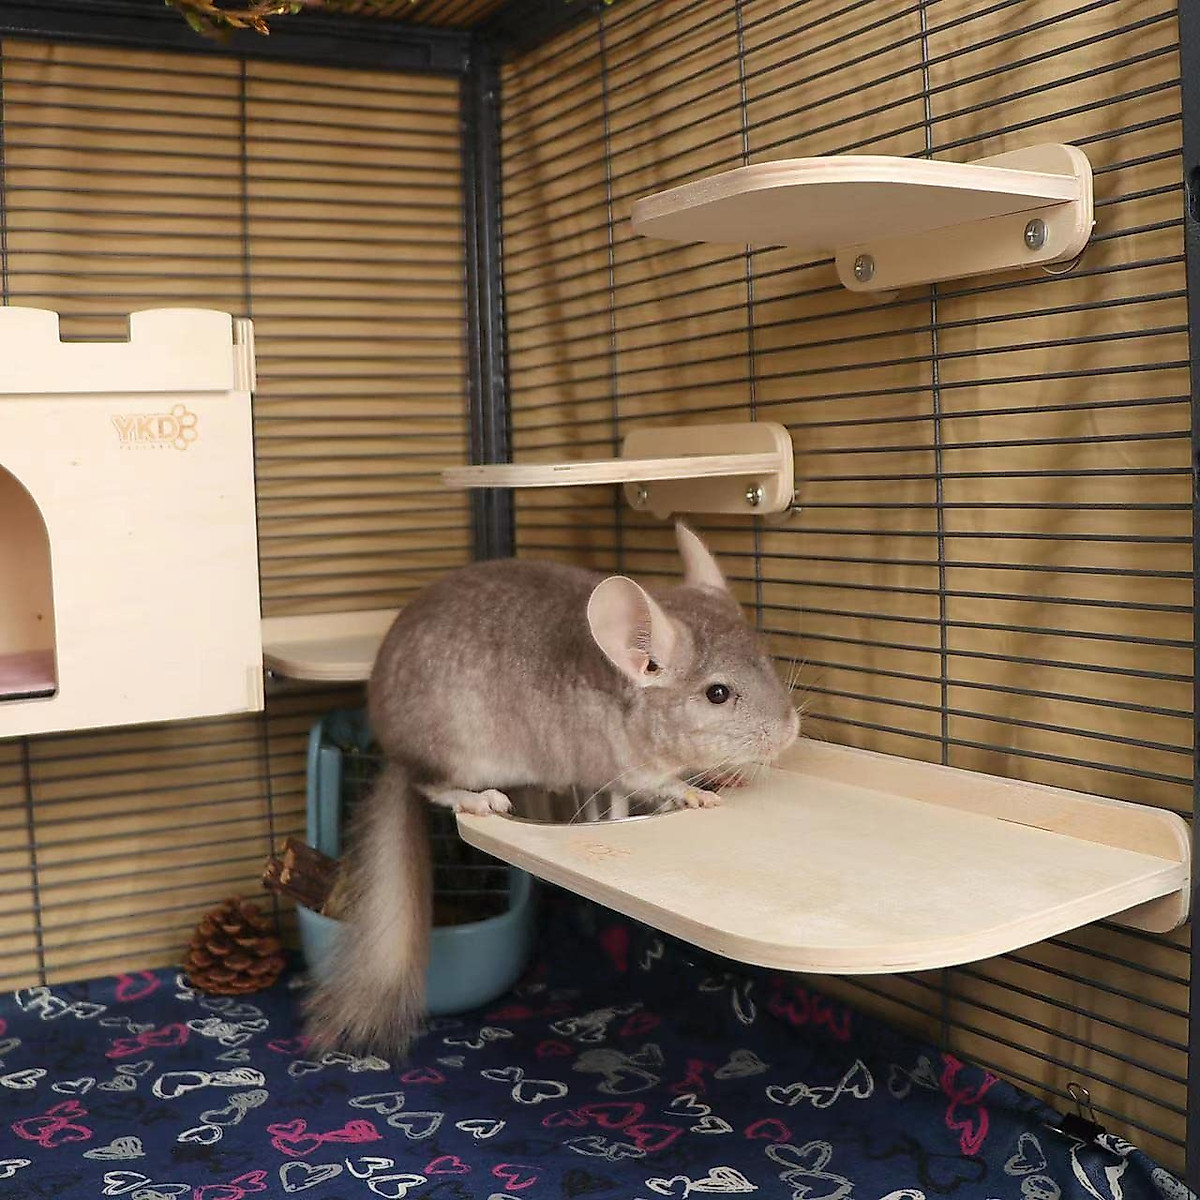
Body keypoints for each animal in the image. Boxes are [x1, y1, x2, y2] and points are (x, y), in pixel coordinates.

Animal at [304, 521, 800, 1056]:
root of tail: (393, 749)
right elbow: (660, 784)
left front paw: (728, 774)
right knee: (431, 785)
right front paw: (699, 794)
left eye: (766, 659)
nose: (791, 731)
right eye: (718, 694)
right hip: (460, 751)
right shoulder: (623, 765)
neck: (626, 697)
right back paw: (480, 799)